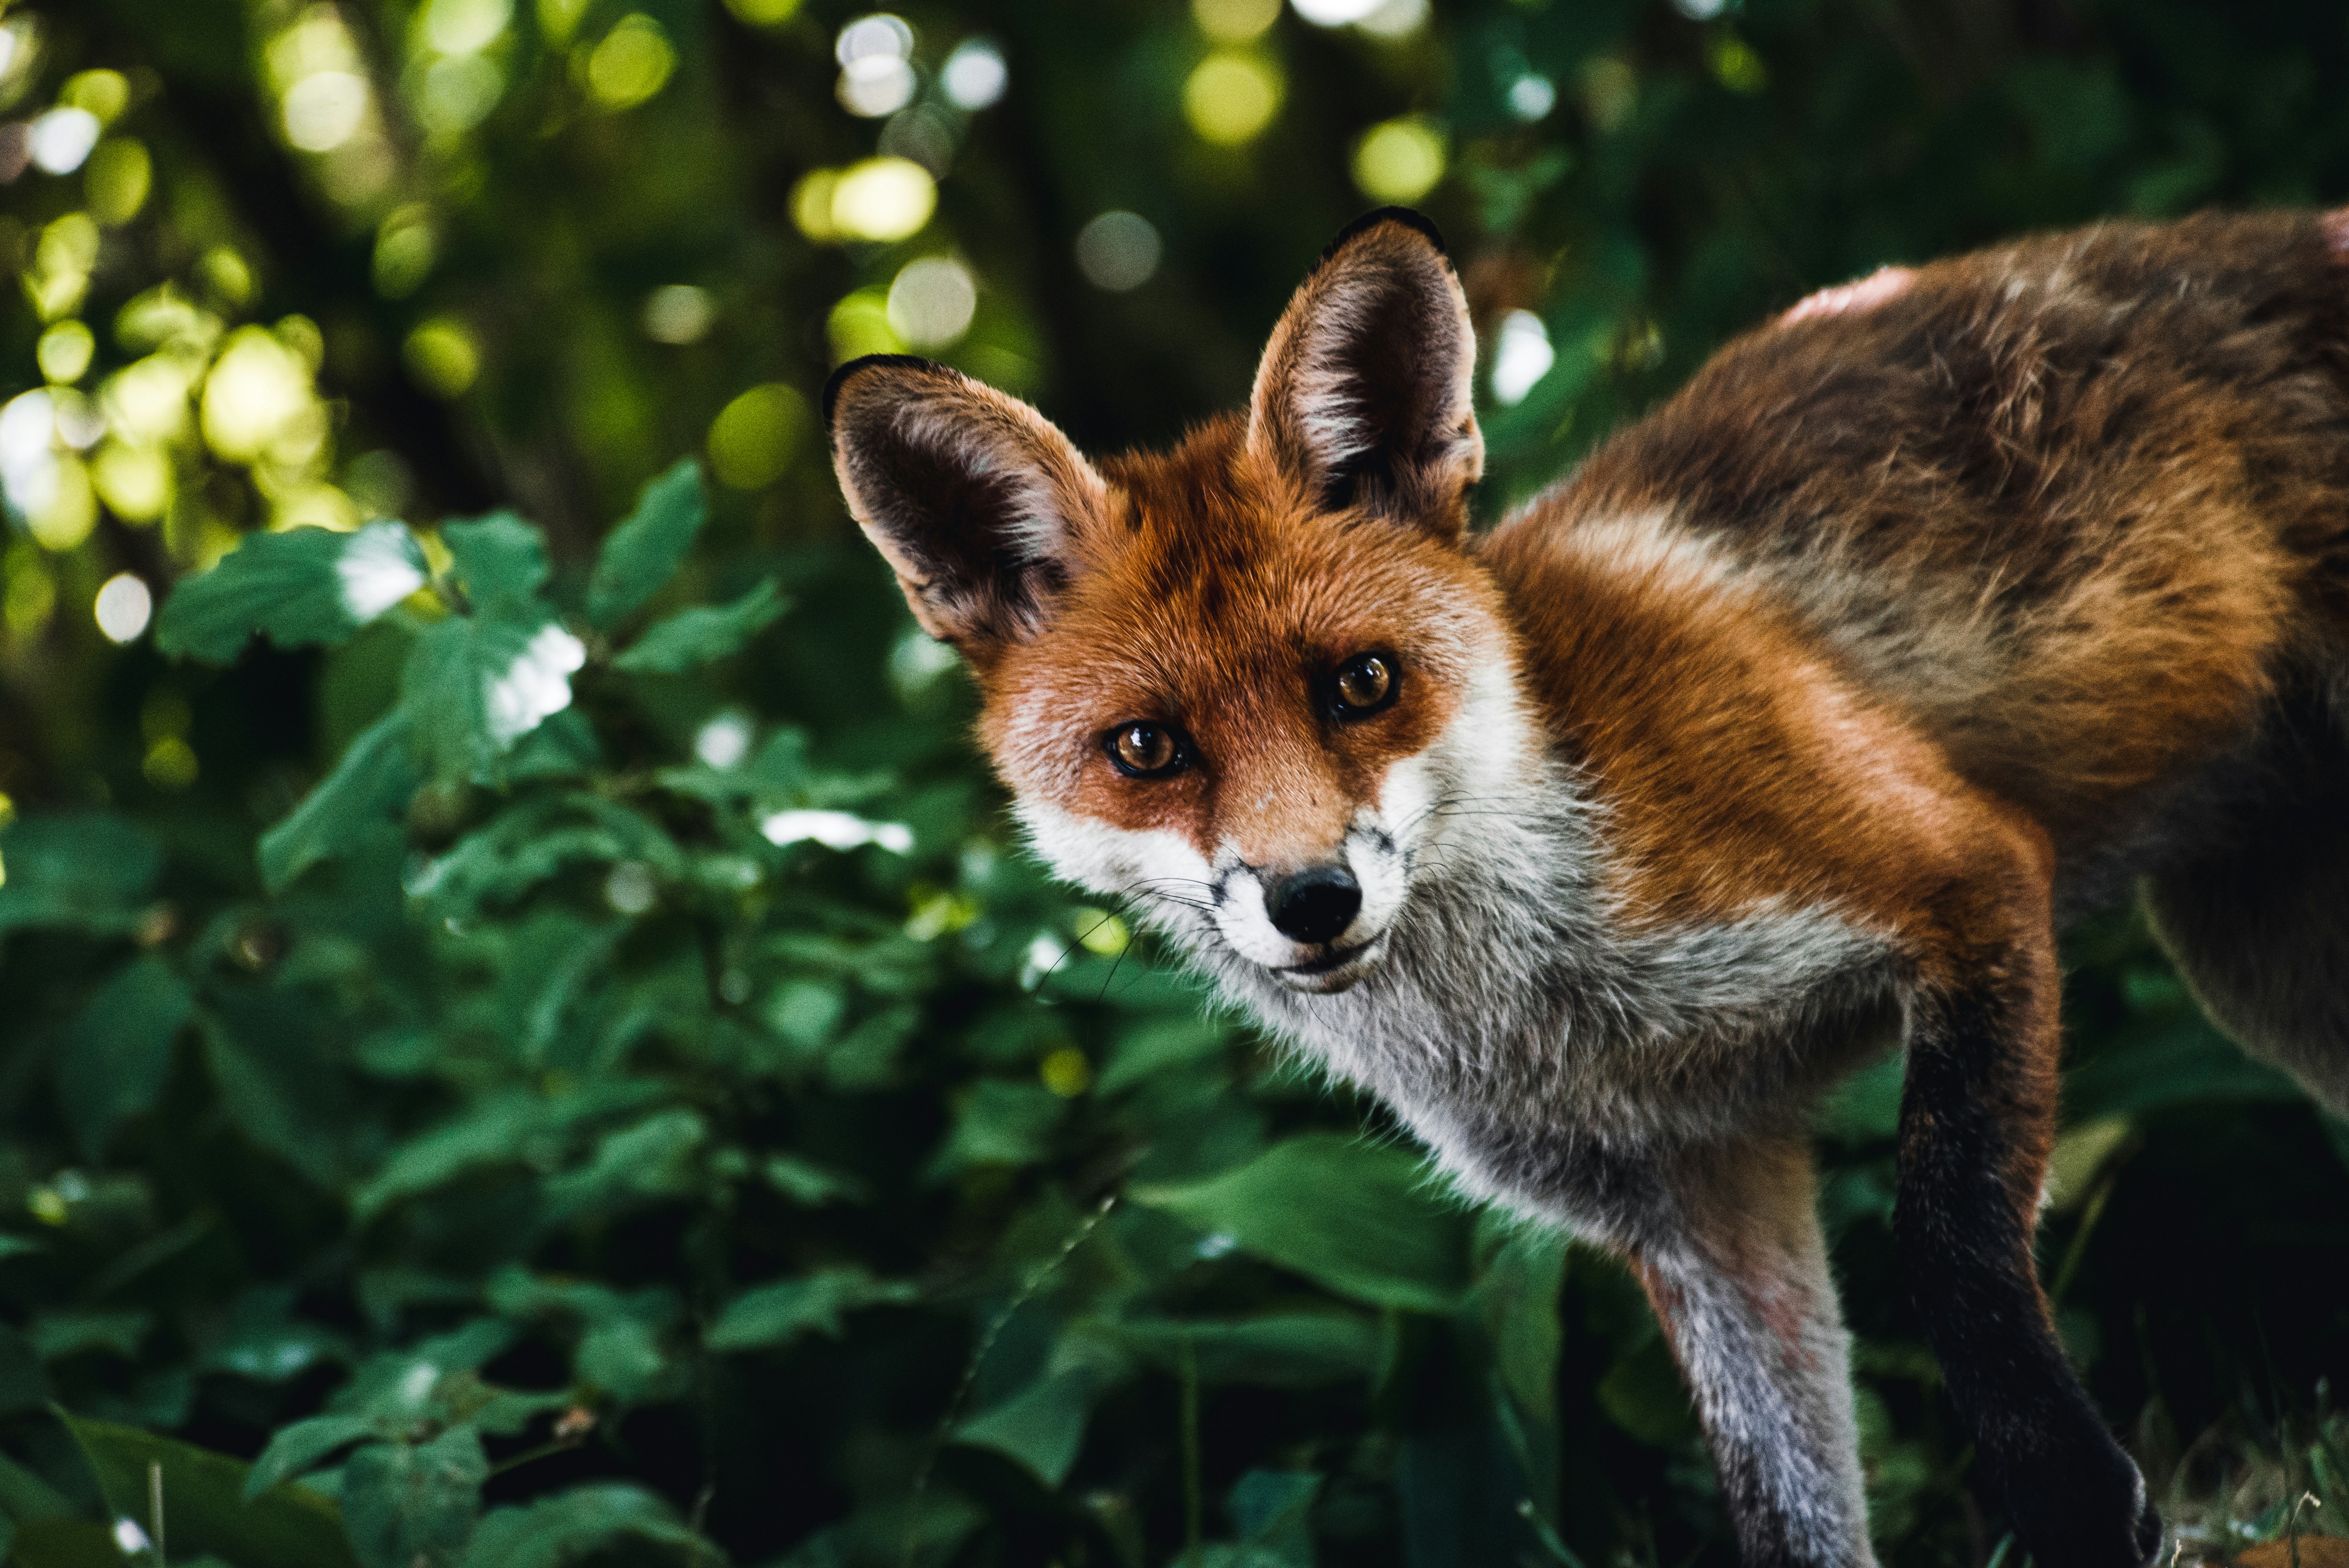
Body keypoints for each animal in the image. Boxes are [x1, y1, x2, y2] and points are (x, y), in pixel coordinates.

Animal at [825, 205, 2349, 1567]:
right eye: (1148, 748)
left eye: (1360, 682)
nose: (1311, 900)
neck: (1567, 1005)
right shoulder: (1691, 1195)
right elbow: (1783, 1508)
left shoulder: (1961, 878)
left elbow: (1945, 1240)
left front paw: (2077, 1506)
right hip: (2262, 970)